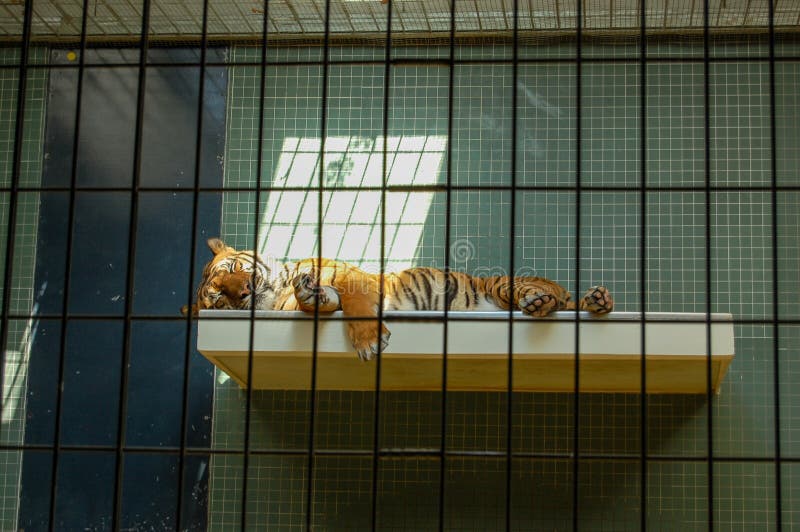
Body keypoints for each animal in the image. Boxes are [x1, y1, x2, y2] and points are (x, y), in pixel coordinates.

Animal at [182, 237, 613, 361]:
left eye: (235, 270)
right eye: (219, 298)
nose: (243, 292)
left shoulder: (352, 277)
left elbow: (356, 310)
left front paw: (369, 343)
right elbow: (319, 302)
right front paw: (311, 295)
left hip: (503, 285)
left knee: (550, 297)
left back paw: (553, 300)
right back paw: (595, 300)